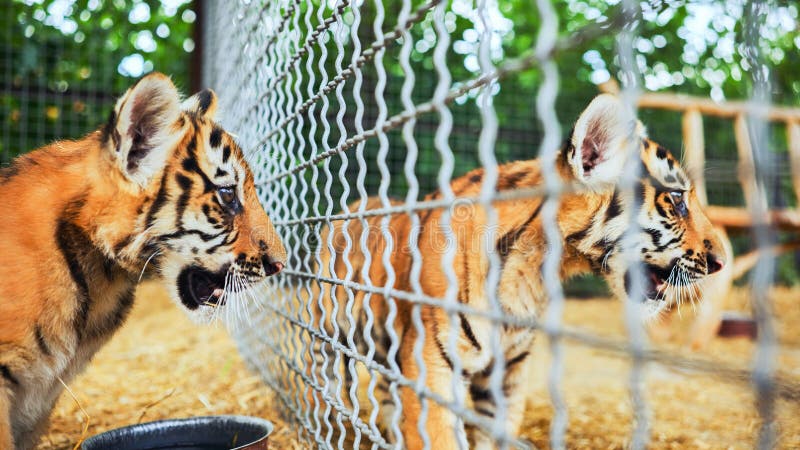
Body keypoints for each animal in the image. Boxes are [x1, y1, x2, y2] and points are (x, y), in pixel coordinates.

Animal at [309, 94, 725, 449]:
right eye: (676, 199)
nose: (720, 261)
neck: (534, 271)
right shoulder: (434, 367)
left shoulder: (506, 375)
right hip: (326, 326)